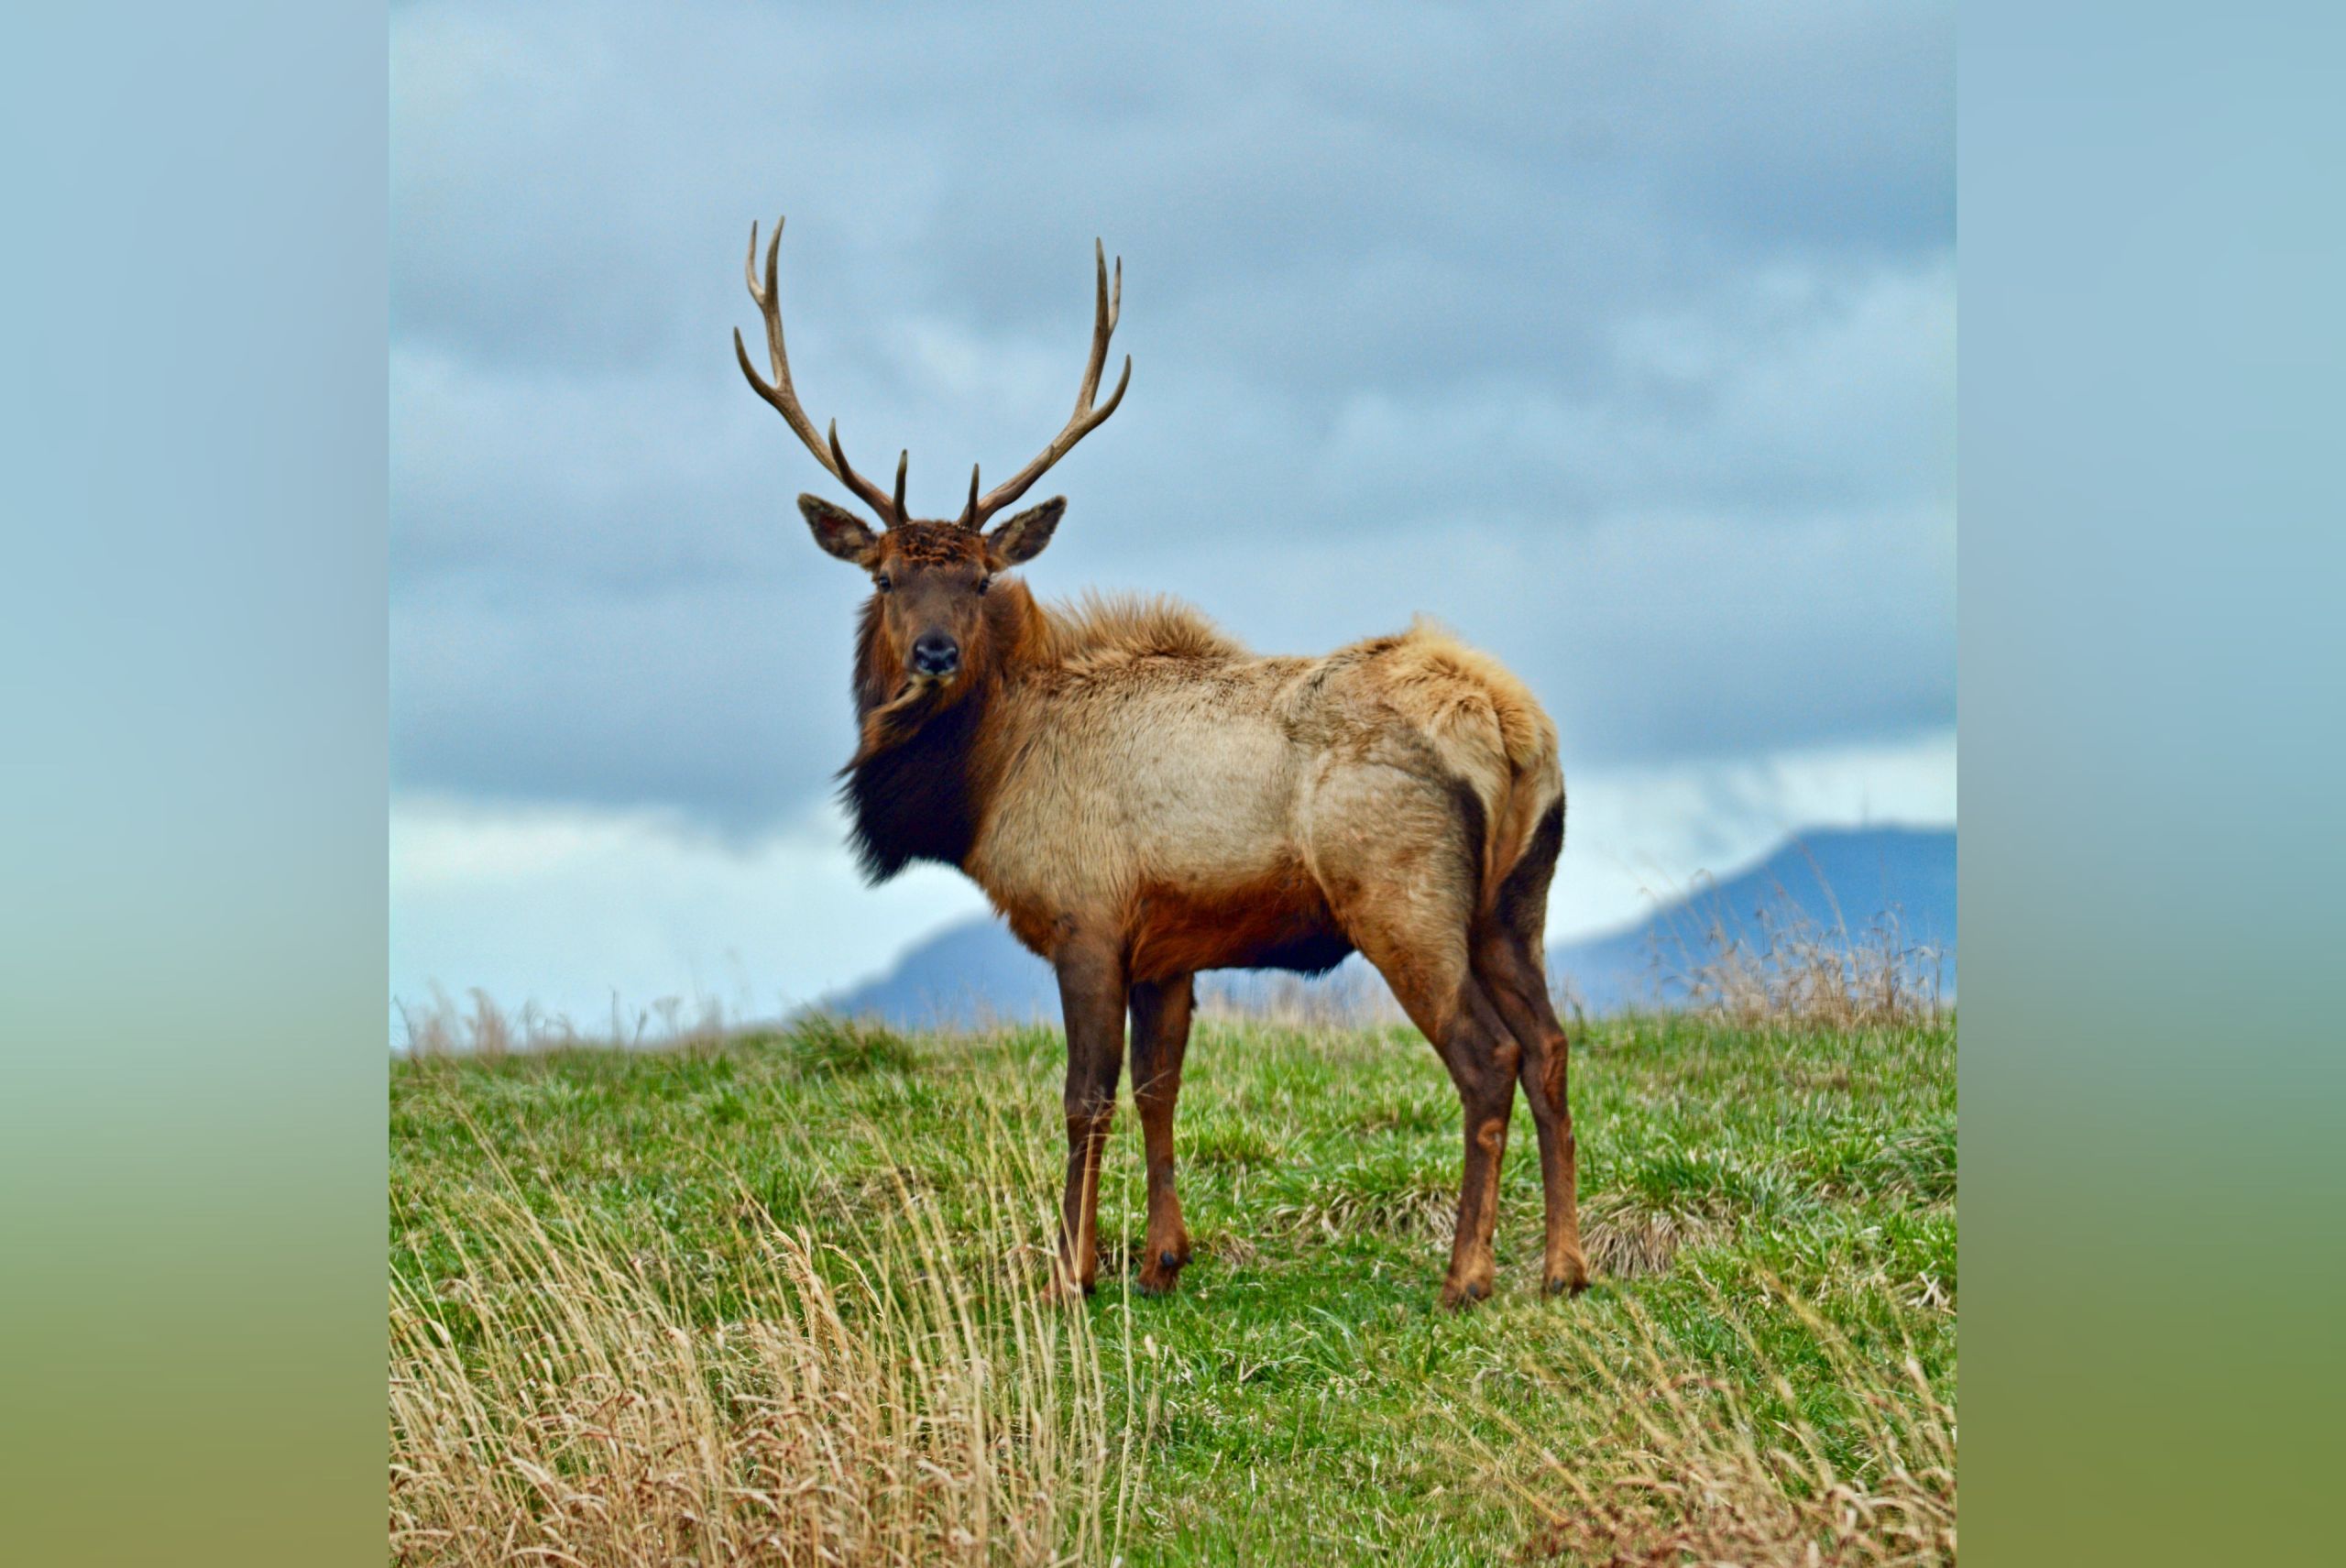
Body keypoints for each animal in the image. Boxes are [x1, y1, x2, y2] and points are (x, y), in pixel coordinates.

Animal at [735, 216, 1588, 1307]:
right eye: (885, 576)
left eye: (980, 579)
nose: (932, 655)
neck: (988, 781)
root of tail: (1511, 723)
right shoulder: (1169, 946)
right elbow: (1159, 1090)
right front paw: (1162, 1257)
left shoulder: (1086, 917)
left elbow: (1085, 1096)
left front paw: (1072, 1267)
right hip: (1515, 901)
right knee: (1551, 1048)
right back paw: (1564, 1265)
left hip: (1402, 894)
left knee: (1488, 1058)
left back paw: (1466, 1272)